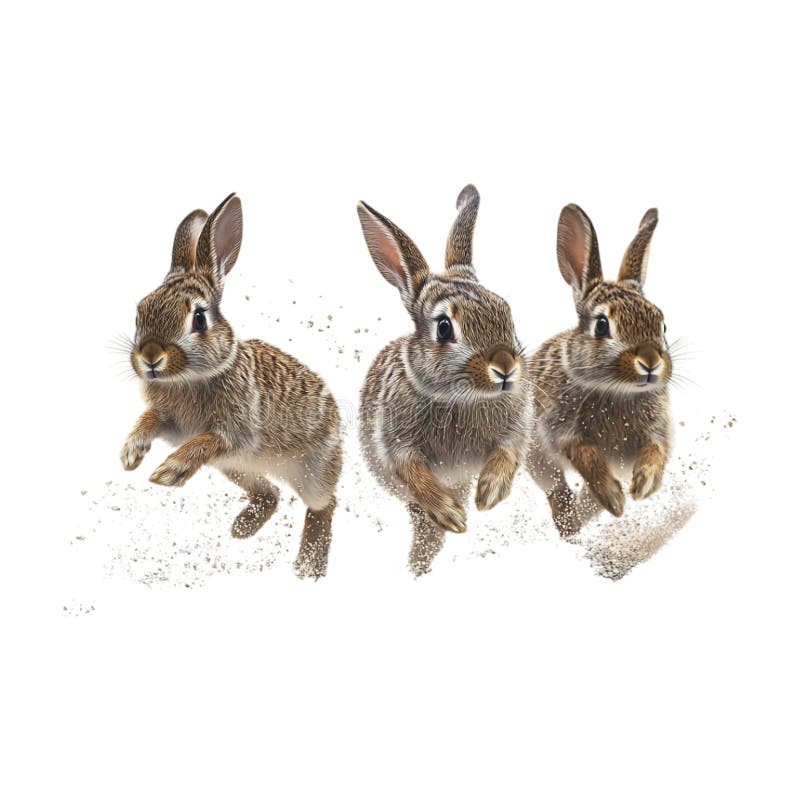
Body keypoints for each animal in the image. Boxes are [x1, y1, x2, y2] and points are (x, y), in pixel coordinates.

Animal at [119, 193, 342, 578]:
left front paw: (168, 471)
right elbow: (150, 419)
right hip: (235, 469)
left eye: (199, 319)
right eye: (139, 313)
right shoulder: (171, 423)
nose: (150, 357)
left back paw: (308, 566)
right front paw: (131, 454)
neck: (189, 378)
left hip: (310, 471)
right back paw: (242, 530)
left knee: (324, 504)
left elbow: (208, 441)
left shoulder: (236, 431)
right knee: (271, 493)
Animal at [357, 185, 534, 575]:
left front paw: (488, 494)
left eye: (506, 312)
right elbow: (413, 473)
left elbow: (509, 452)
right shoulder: (397, 445)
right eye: (444, 328)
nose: (505, 367)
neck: (463, 397)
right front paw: (452, 515)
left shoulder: (516, 428)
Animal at [526, 203, 673, 537]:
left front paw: (644, 485)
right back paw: (570, 527)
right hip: (536, 459)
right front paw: (613, 498)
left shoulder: (658, 429)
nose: (650, 362)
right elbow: (587, 454)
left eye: (662, 325)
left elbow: (657, 449)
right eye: (602, 325)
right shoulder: (559, 429)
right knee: (555, 488)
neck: (619, 390)